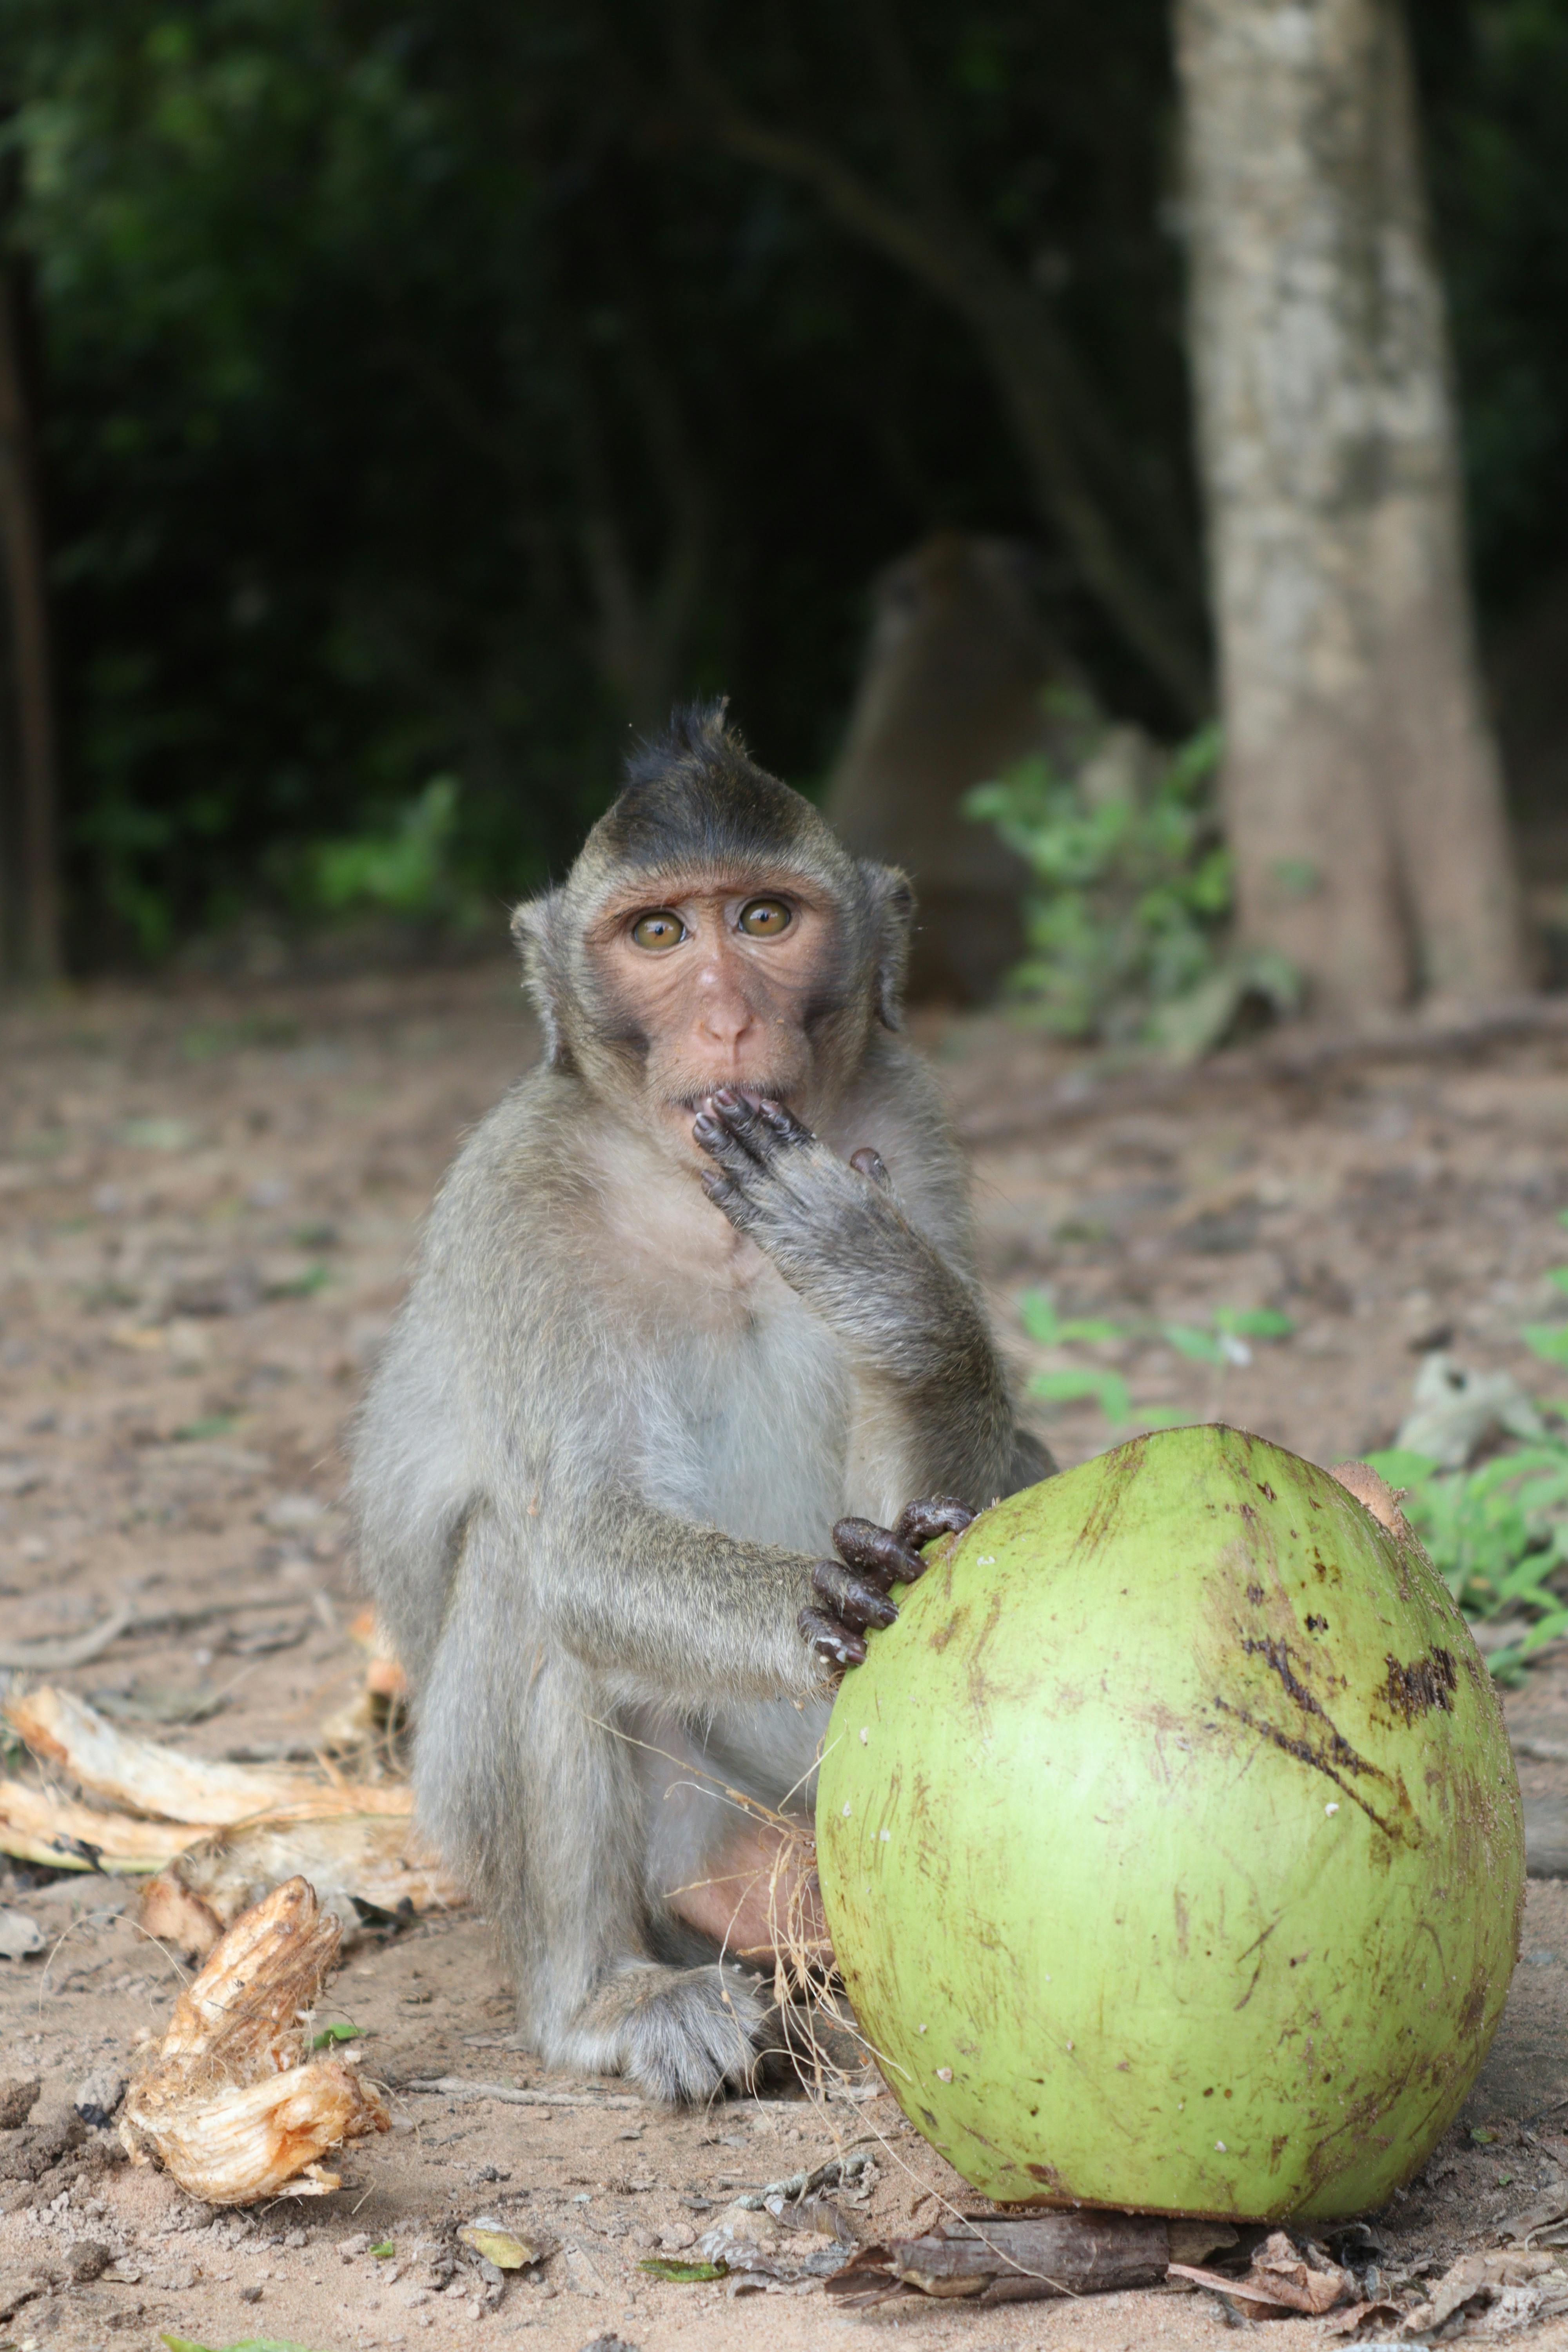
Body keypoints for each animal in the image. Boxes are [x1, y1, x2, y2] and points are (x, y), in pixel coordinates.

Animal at [350, 703, 1054, 2103]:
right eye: (660, 935)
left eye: (766, 919)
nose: (728, 1020)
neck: (705, 1211)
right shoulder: (521, 1201)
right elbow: (581, 1547)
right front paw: (818, 1600)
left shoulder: (908, 1123)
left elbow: (939, 1503)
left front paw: (889, 1292)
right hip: (617, 1809)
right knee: (524, 1573)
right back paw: (602, 1995)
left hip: (820, 1787)